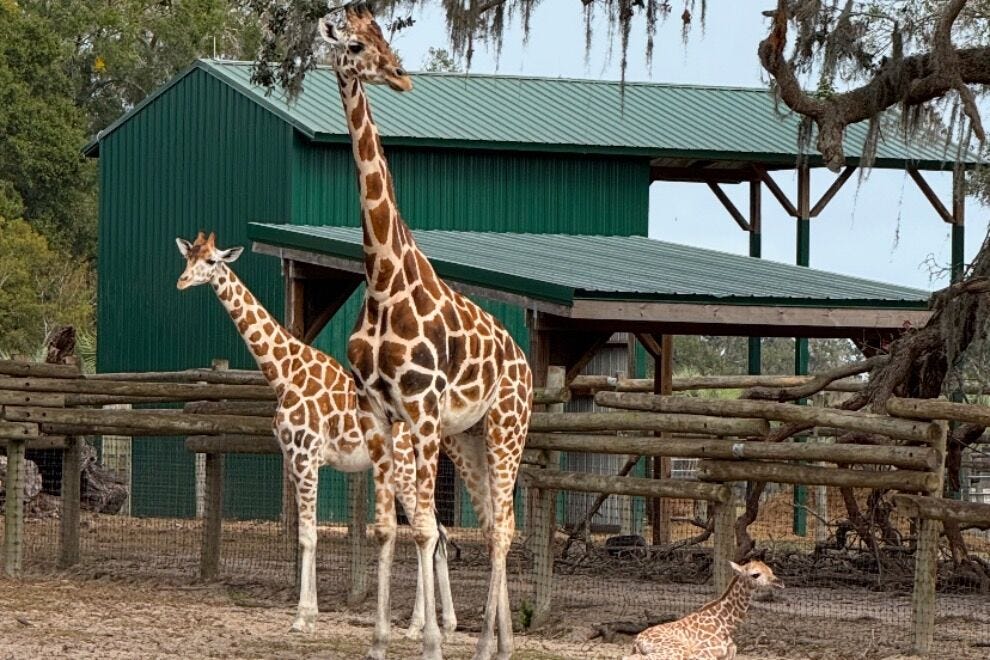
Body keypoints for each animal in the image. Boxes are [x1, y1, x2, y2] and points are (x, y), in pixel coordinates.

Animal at [174, 231, 456, 636]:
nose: (182, 282)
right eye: (189, 256)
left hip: (405, 470)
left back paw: (419, 624)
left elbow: (309, 536)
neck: (283, 373)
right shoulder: (293, 460)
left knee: (430, 532)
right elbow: (304, 536)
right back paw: (442, 622)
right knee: (440, 534)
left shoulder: (307, 457)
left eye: (212, 261)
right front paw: (309, 612)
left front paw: (303, 617)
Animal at [318, 5, 533, 659]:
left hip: (506, 427)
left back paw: (490, 646)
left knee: (503, 529)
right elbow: (388, 529)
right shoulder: (379, 412)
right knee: (494, 521)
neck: (383, 279)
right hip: (471, 437)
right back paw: (498, 642)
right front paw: (381, 642)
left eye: (386, 37)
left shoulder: (423, 412)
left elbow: (425, 532)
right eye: (355, 45)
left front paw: (432, 642)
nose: (400, 76)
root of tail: (525, 362)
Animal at [623, 560, 784, 660]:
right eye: (755, 574)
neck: (726, 626)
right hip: (677, 650)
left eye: (771, 570)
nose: (780, 583)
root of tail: (637, 640)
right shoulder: (702, 654)